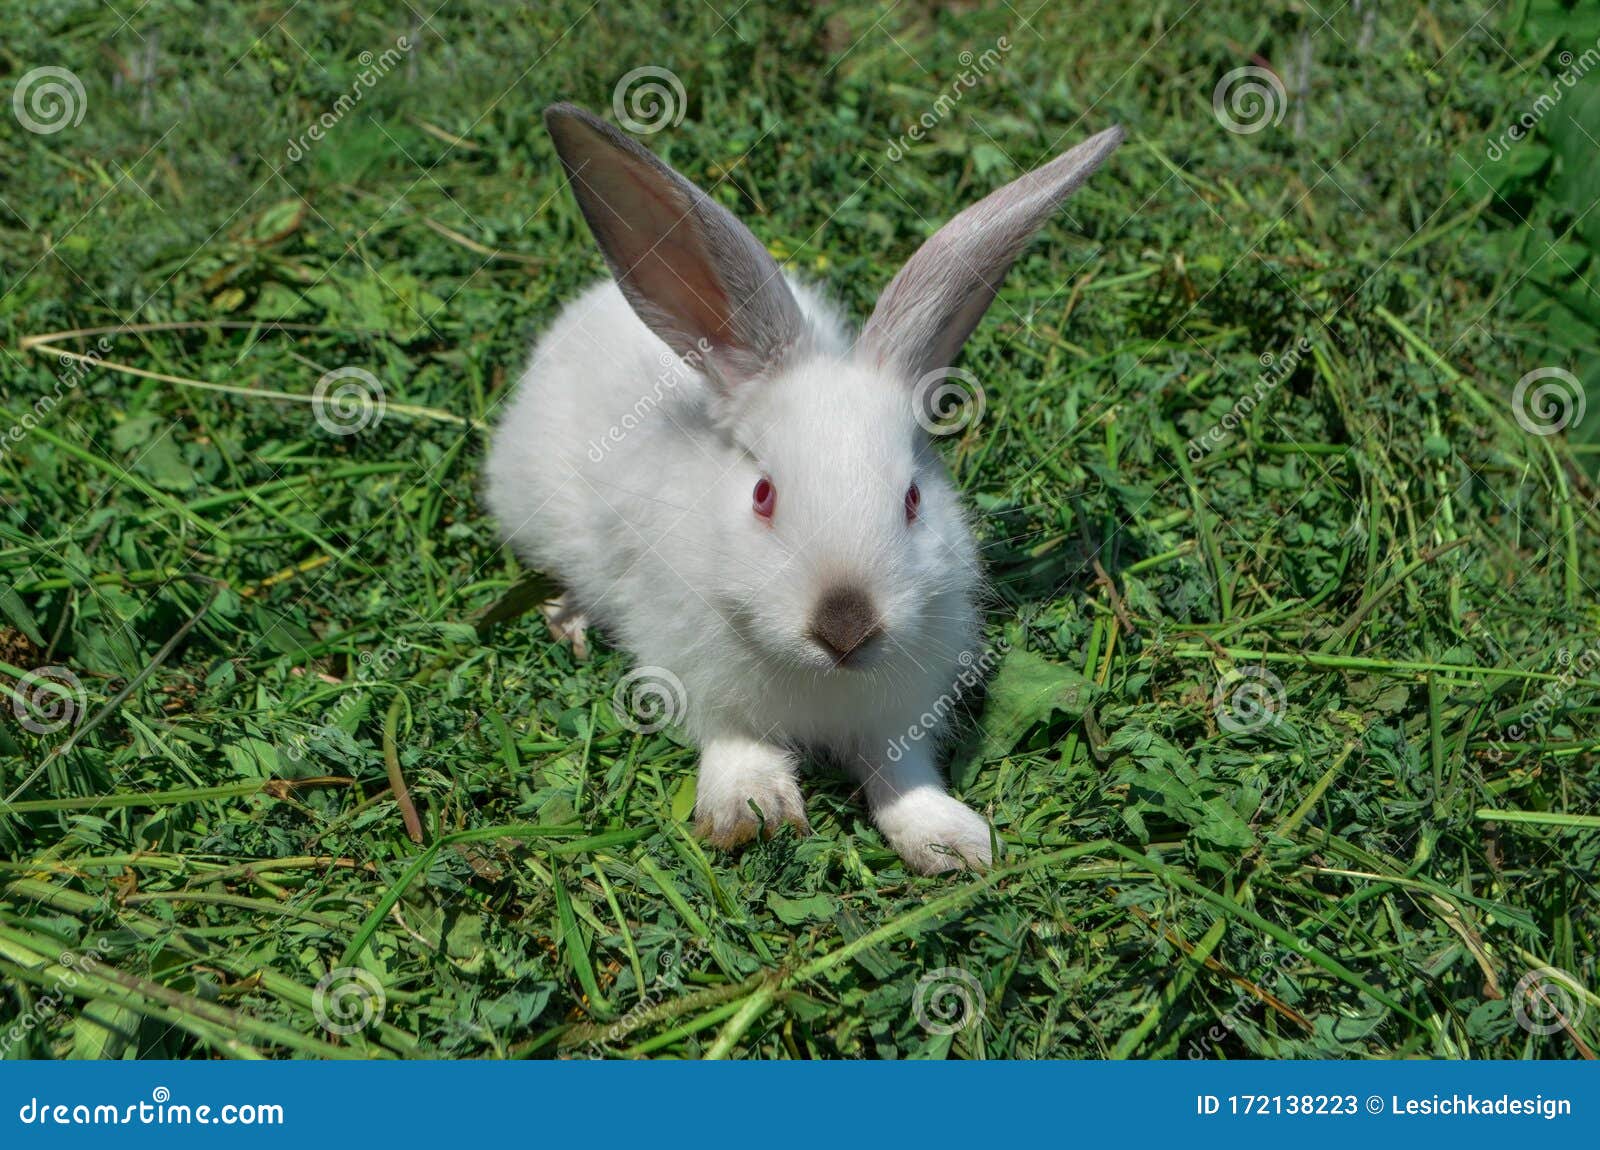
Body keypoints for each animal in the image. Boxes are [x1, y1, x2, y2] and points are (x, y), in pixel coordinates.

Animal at [485, 103, 1123, 874]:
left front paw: (953, 843)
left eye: (912, 499)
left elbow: (903, 777)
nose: (845, 627)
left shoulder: (899, 717)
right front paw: (750, 814)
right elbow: (737, 743)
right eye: (763, 494)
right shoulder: (700, 681)